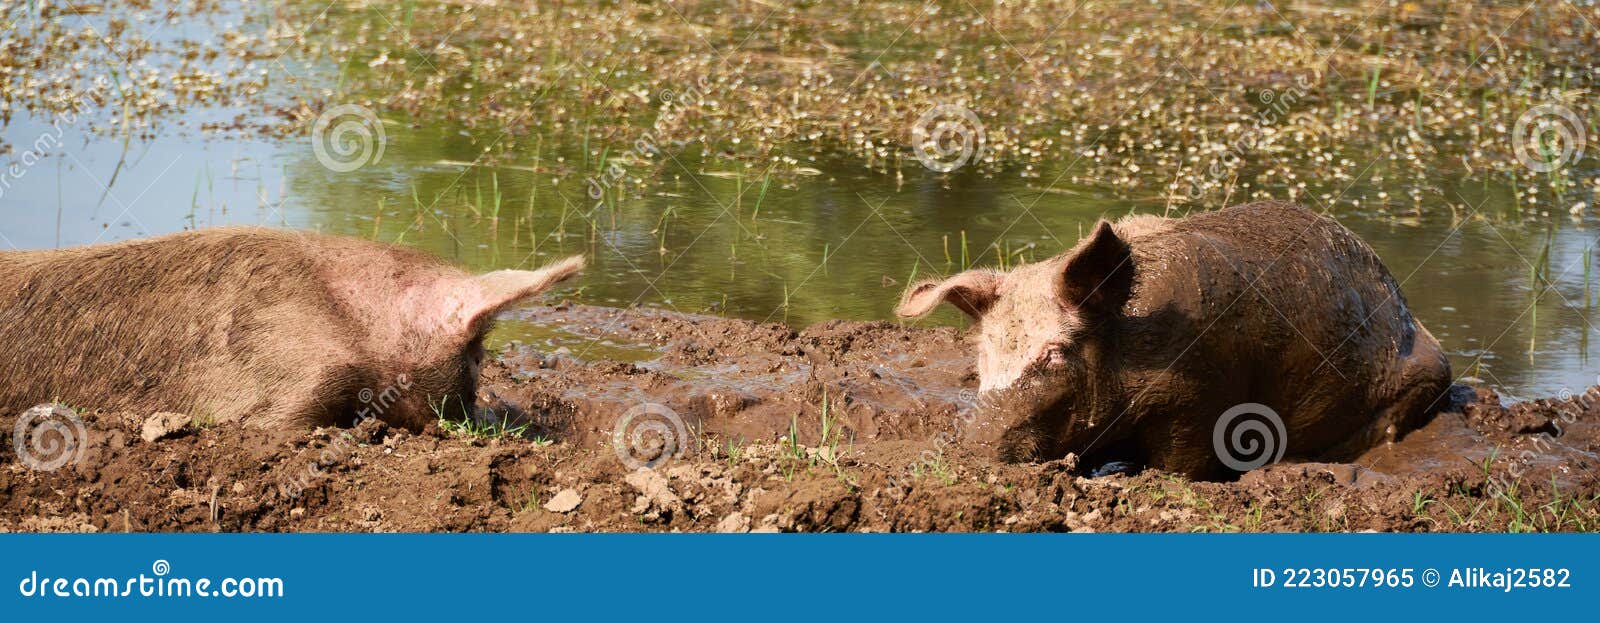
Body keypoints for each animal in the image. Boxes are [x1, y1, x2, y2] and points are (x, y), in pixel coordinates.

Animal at [895, 201, 1453, 480]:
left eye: (1055, 354)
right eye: (983, 354)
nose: (974, 446)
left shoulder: (1198, 403)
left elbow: (1181, 465)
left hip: (1424, 374)